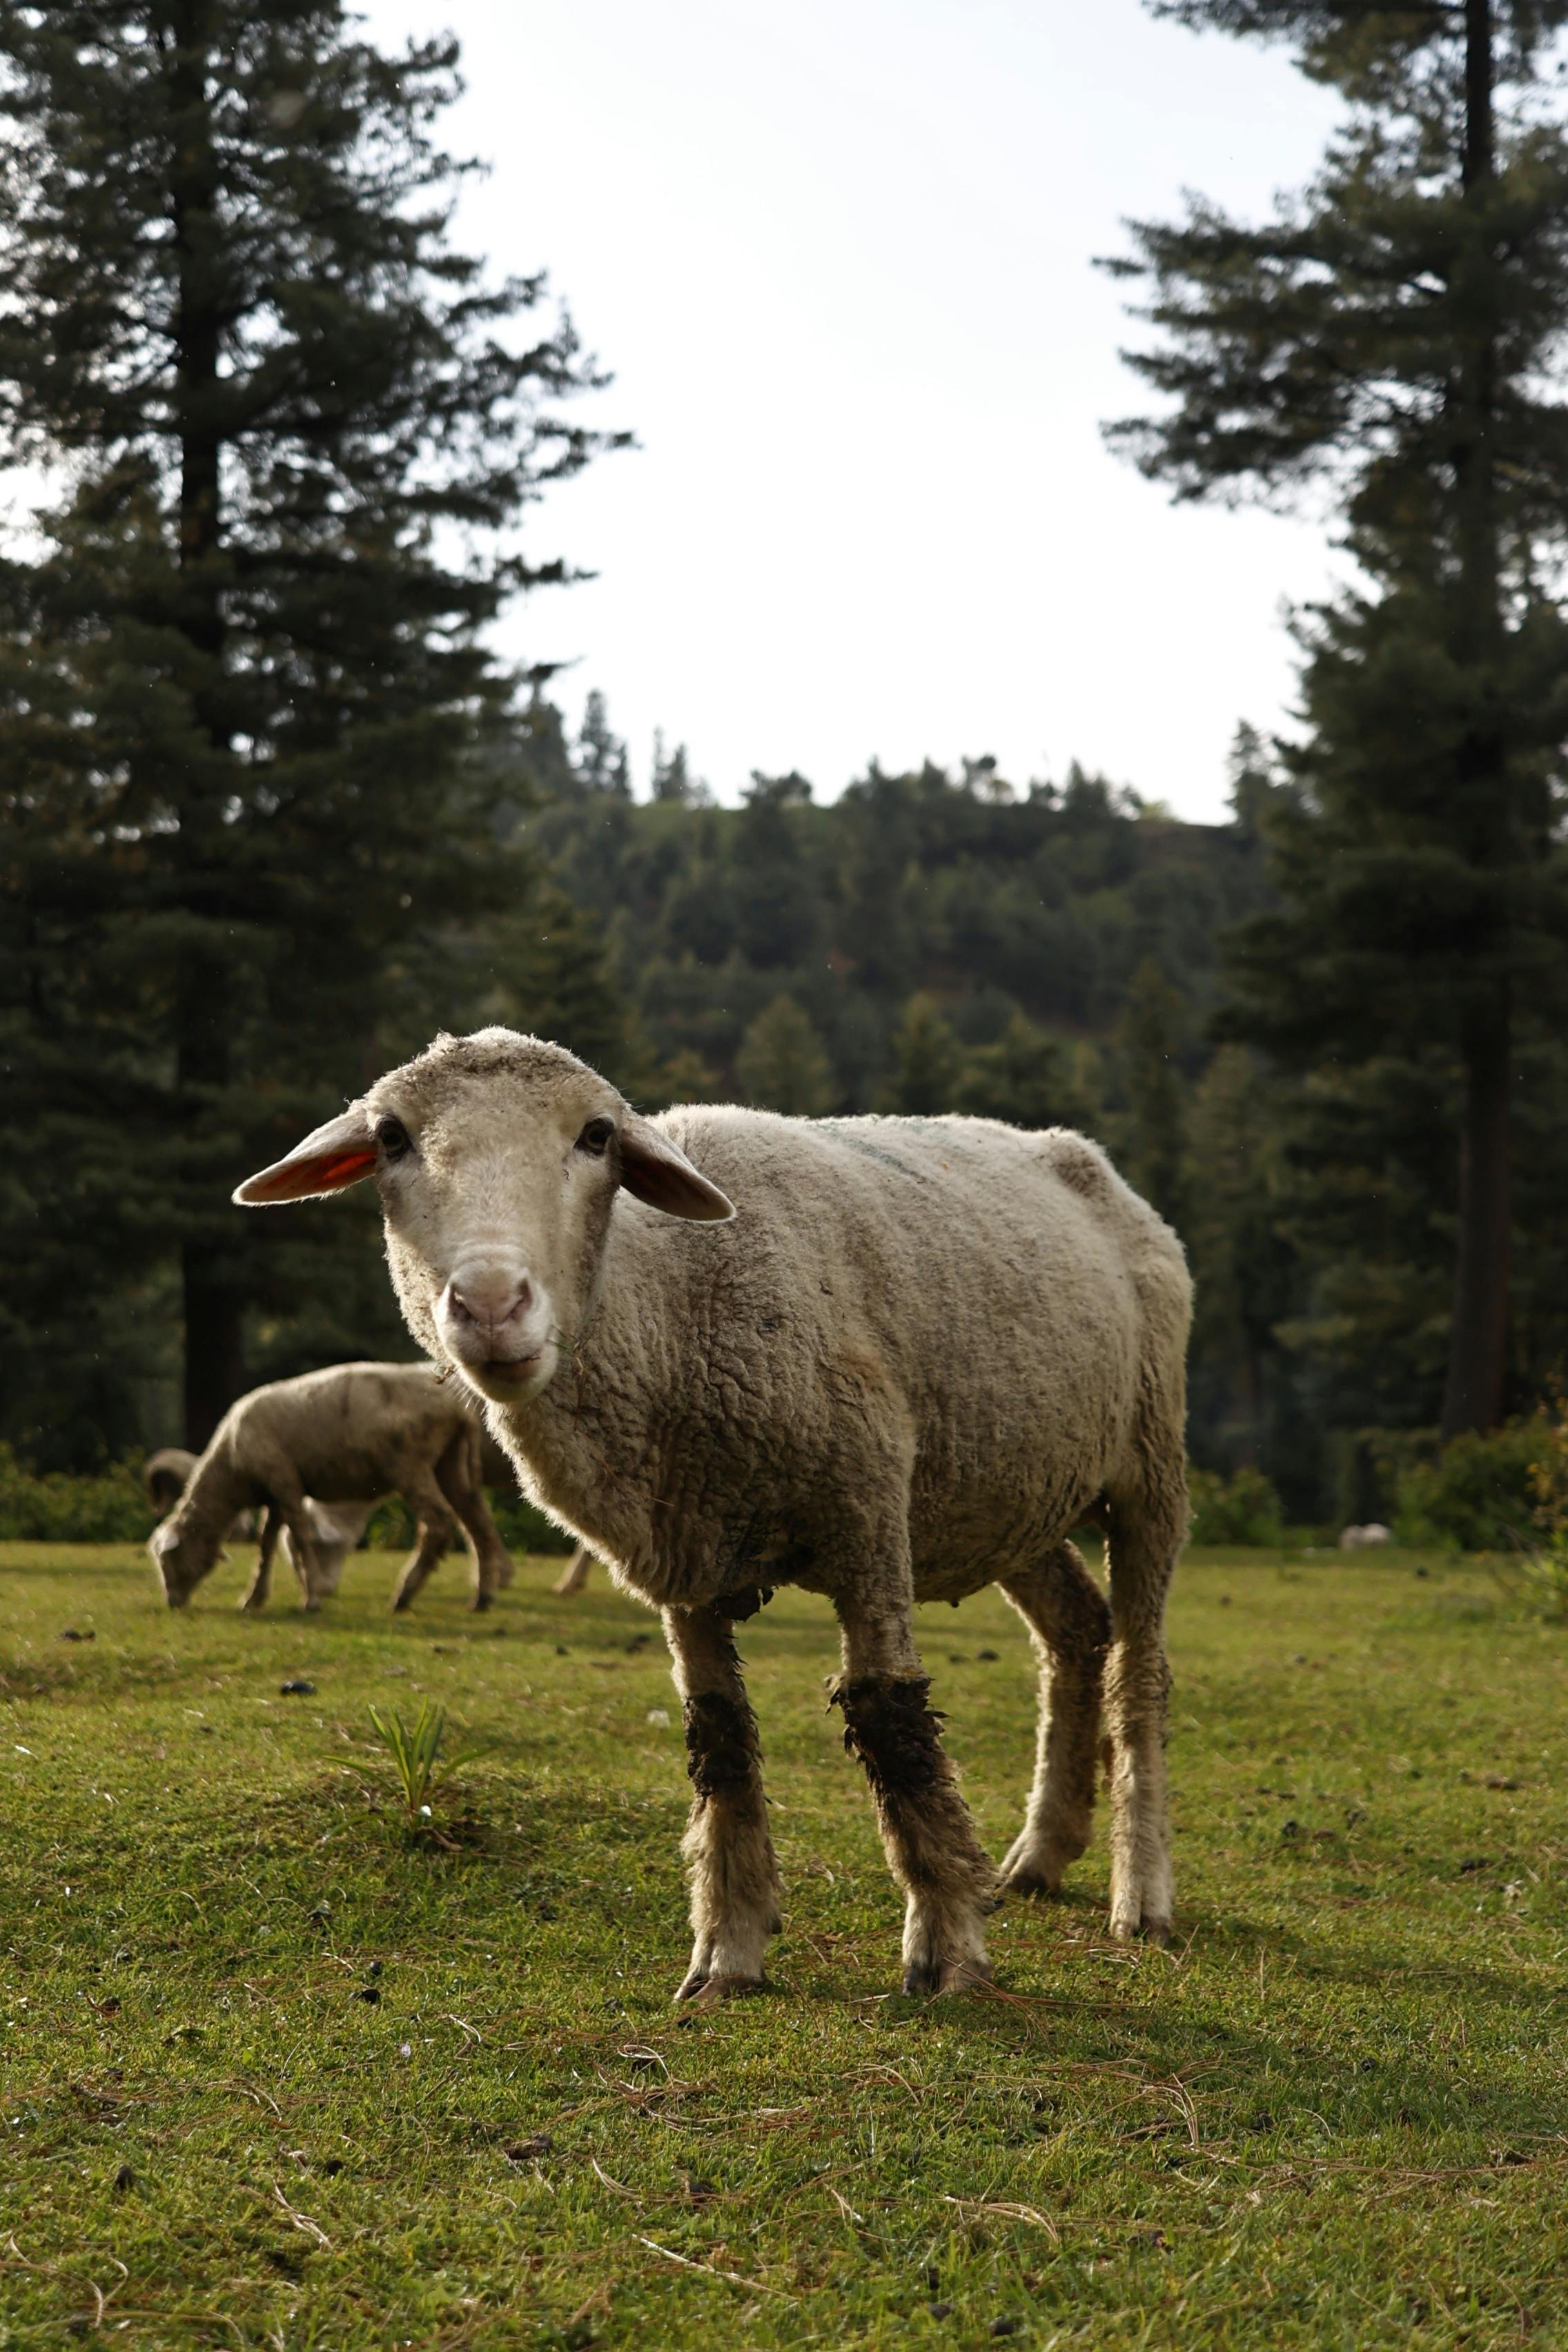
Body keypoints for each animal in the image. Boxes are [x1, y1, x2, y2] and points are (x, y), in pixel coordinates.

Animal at [149, 1361, 515, 1613]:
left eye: (168, 1559)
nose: (172, 1602)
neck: (231, 1468)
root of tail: (457, 1410)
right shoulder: (275, 1493)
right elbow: (266, 1544)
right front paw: (254, 1598)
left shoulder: (284, 1484)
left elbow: (298, 1536)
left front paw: (310, 1599)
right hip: (452, 1464)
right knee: (479, 1525)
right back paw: (483, 1597)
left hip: (409, 1465)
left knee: (439, 1522)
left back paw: (404, 1594)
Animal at [234, 1028, 1191, 1999]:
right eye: (390, 1137)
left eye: (596, 1136)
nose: (494, 1306)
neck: (670, 1303)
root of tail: (1085, 1158)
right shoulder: (682, 1552)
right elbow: (718, 1738)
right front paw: (728, 1955)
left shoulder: (867, 1503)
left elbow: (890, 1721)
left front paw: (948, 1948)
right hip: (1006, 1494)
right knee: (1076, 1631)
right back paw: (1039, 1854)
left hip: (1149, 1461)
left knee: (1138, 1669)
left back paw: (1140, 1895)